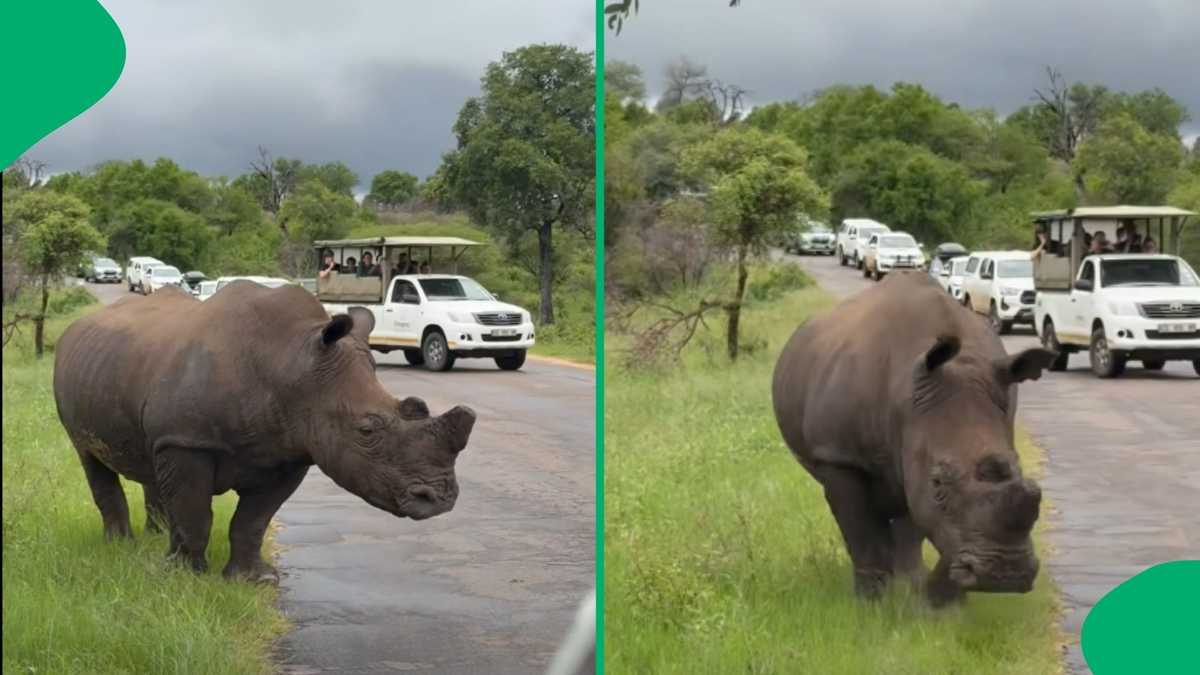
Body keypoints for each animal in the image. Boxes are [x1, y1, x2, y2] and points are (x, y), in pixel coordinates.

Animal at [53, 282, 476, 581]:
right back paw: (120, 547)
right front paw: (184, 578)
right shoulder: (187, 441)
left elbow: (253, 521)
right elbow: (194, 513)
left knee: (151, 462)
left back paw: (154, 540)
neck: (290, 362)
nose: (438, 499)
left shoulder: (292, 451)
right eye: (367, 430)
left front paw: (251, 580)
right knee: (89, 456)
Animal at [771, 272, 1056, 606]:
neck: (906, 400)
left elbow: (926, 521)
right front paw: (872, 604)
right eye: (938, 483)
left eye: (1020, 469)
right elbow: (861, 532)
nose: (1004, 575)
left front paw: (935, 603)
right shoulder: (838, 456)